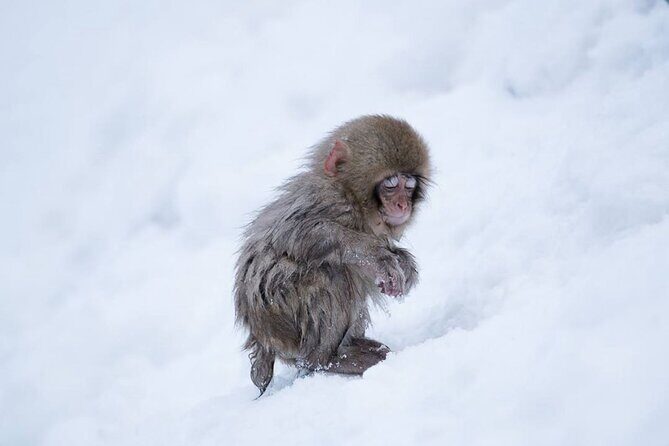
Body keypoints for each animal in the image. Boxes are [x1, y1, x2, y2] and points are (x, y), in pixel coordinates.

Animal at [234, 115, 431, 396]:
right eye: (391, 185)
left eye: (409, 185)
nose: (403, 205)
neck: (353, 196)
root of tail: (261, 338)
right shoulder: (330, 201)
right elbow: (295, 233)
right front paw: (376, 256)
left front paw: (405, 264)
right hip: (278, 310)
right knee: (329, 272)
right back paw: (325, 359)